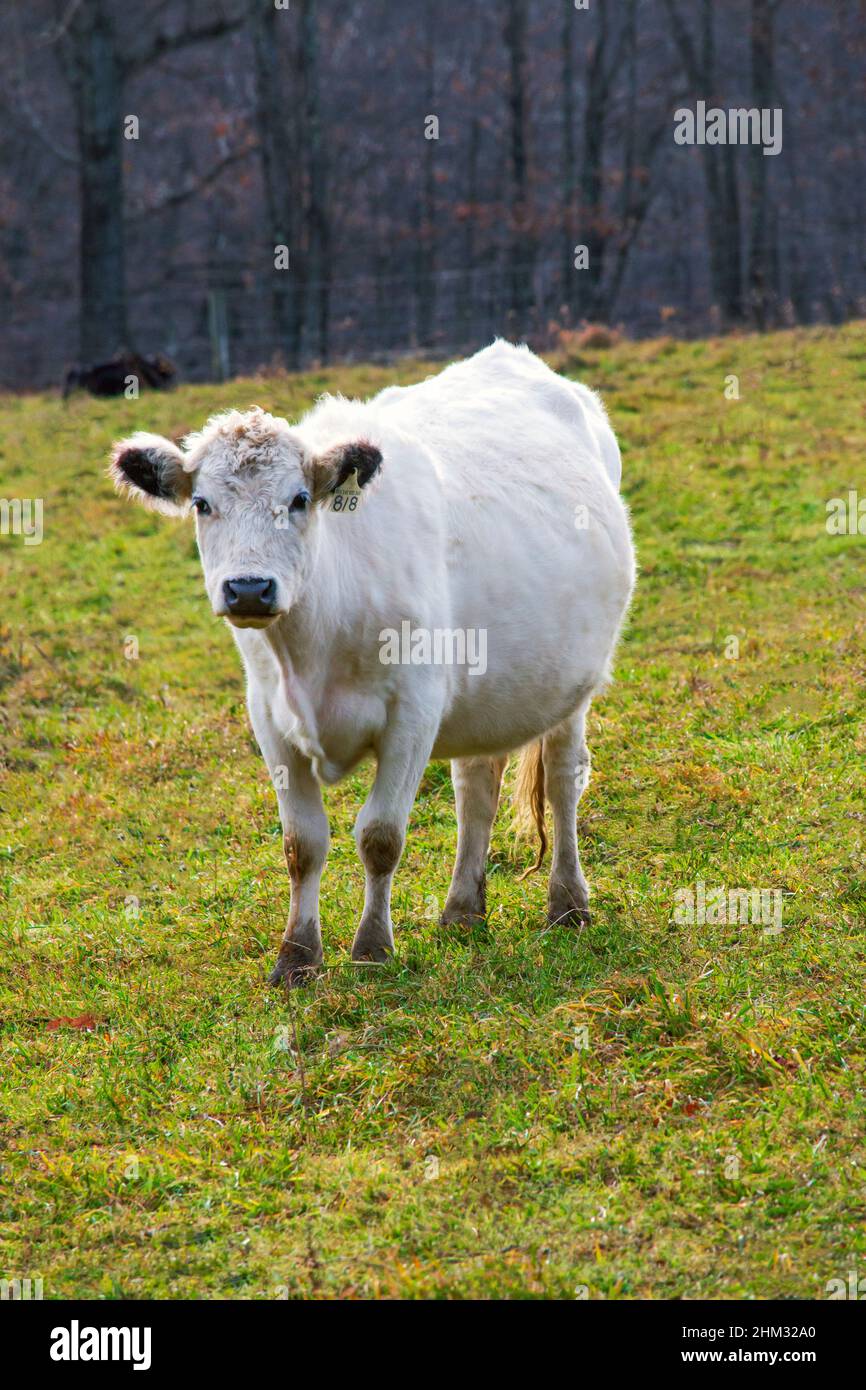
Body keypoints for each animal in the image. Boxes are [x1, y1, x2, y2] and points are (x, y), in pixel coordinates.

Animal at [110, 341, 635, 986]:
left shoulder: (413, 713)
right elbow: (302, 843)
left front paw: (372, 947)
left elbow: (381, 836)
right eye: (203, 504)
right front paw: (296, 956)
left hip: (572, 686)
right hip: (489, 692)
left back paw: (567, 903)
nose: (249, 589)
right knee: (475, 788)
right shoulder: (269, 718)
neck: (313, 649)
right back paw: (462, 910)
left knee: (563, 779)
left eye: (300, 500)